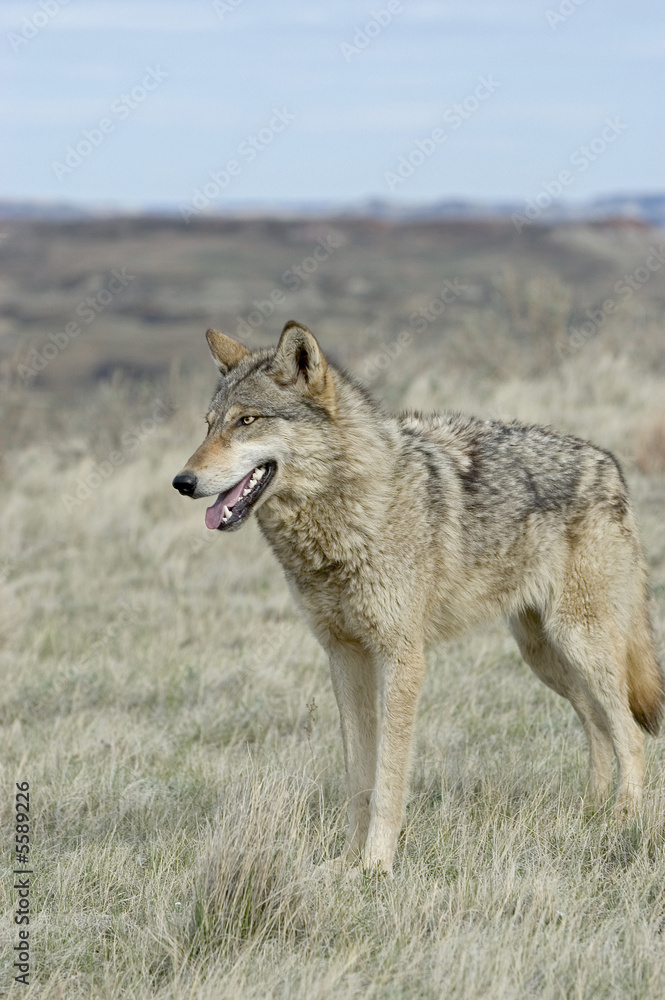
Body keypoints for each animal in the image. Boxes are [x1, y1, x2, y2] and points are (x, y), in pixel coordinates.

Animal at [173, 320, 663, 873]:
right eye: (209, 425)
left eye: (247, 420)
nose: (182, 481)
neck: (349, 517)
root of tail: (611, 464)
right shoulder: (343, 656)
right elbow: (359, 778)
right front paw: (346, 862)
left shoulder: (402, 658)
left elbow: (388, 778)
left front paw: (376, 866)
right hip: (544, 657)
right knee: (600, 727)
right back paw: (589, 816)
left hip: (581, 644)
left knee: (630, 734)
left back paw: (621, 823)